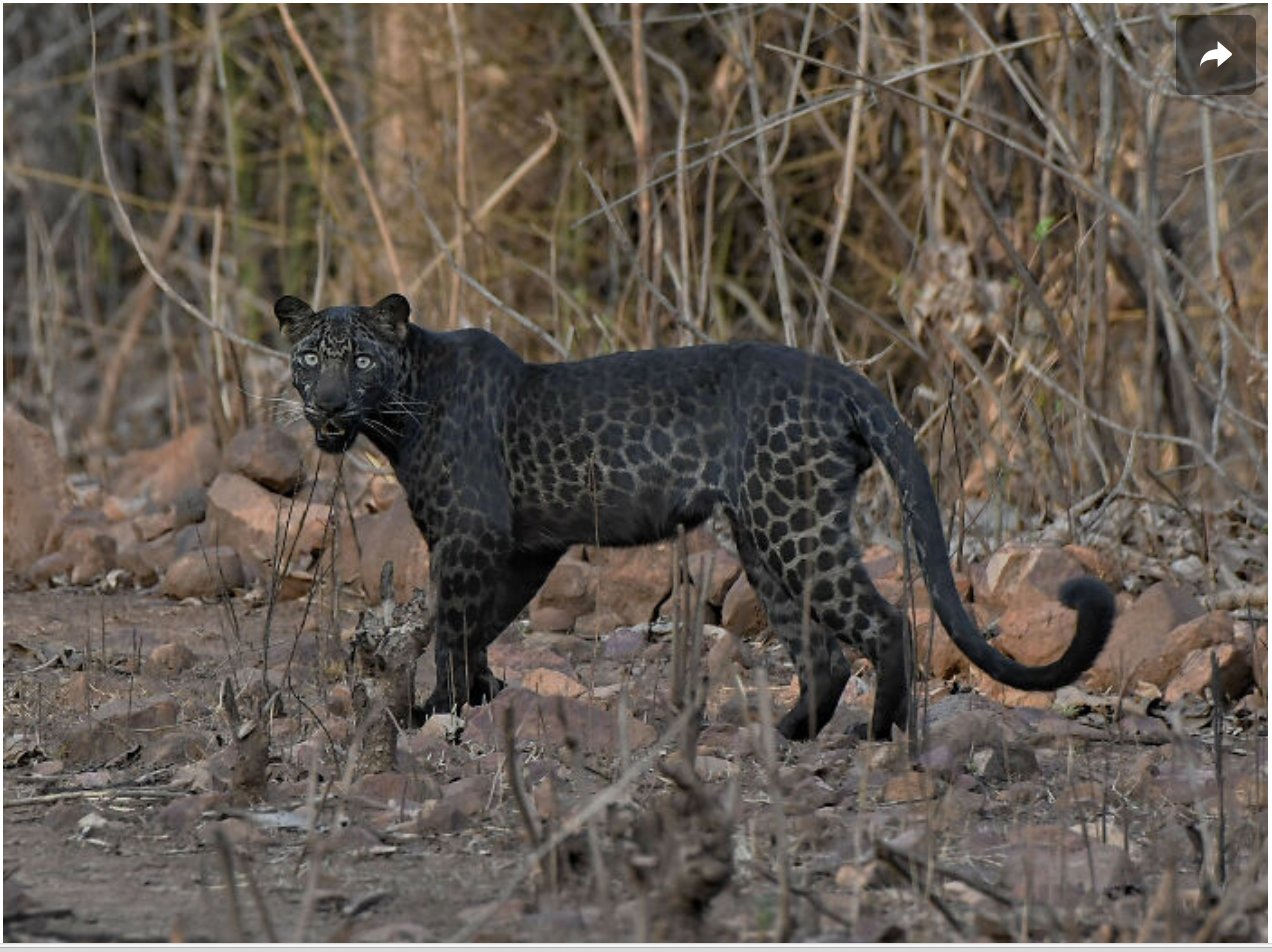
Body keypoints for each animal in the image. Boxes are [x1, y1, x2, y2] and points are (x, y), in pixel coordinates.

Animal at [276, 292, 1115, 741]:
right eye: (309, 356)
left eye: (360, 358)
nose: (327, 404)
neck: (400, 411)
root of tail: (844, 378)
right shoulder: (524, 546)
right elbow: (480, 625)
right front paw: (476, 699)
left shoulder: (471, 536)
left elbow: (452, 626)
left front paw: (439, 711)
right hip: (764, 538)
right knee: (823, 653)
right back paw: (784, 737)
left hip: (793, 525)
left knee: (884, 624)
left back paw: (879, 736)